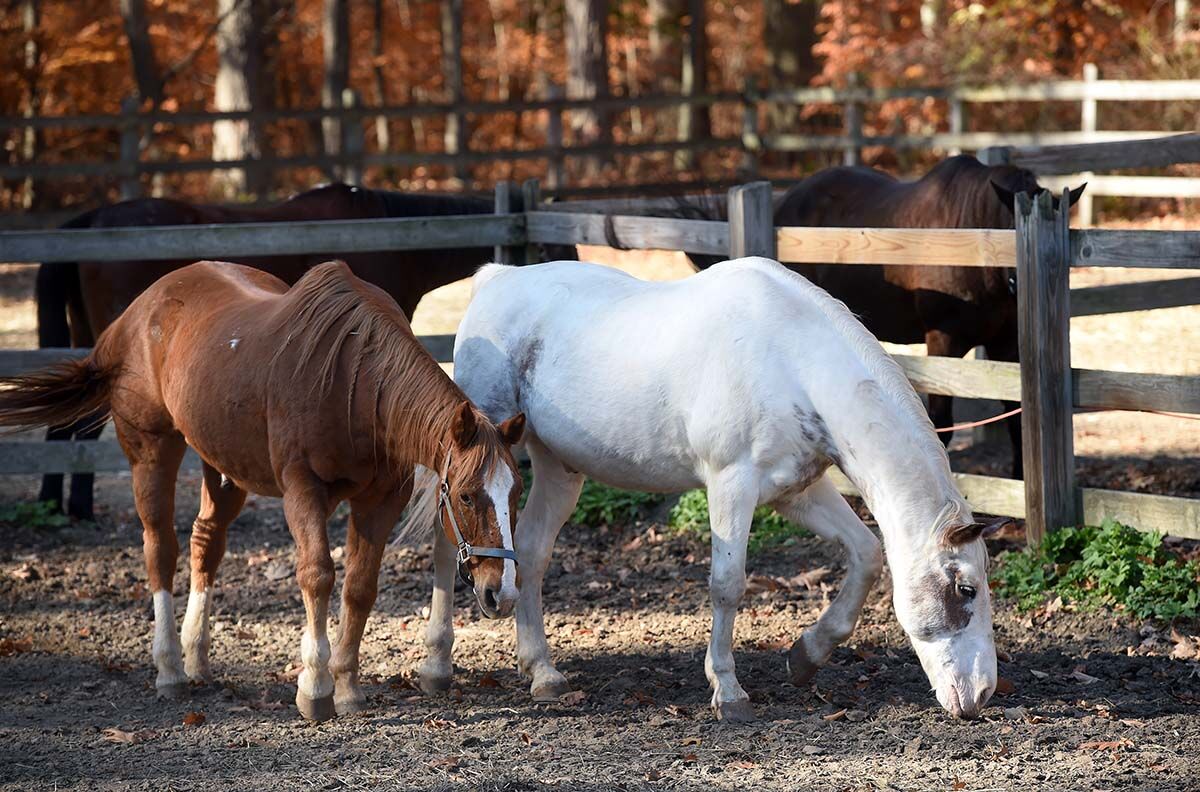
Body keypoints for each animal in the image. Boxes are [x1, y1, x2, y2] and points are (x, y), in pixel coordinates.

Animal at [0, 260, 526, 721]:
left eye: (515, 492)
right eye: (465, 495)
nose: (500, 592)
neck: (356, 382)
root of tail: (133, 316)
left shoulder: (380, 500)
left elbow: (359, 586)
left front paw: (348, 688)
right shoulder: (302, 490)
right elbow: (317, 574)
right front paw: (315, 689)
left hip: (224, 467)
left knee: (205, 542)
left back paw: (196, 659)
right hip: (151, 451)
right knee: (160, 549)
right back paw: (169, 669)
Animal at [409, 257, 1006, 722]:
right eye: (966, 589)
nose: (980, 695)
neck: (793, 360)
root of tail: (495, 280)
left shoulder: (796, 490)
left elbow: (865, 554)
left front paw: (806, 656)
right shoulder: (730, 485)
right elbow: (727, 585)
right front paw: (729, 690)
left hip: (559, 469)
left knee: (529, 554)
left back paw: (543, 674)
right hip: (476, 460)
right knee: (446, 545)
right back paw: (437, 668)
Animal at [678, 156, 1085, 480]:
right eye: (1003, 222)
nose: (1018, 283)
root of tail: (785, 205)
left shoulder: (1005, 345)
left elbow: (1015, 419)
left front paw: (1018, 479)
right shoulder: (944, 341)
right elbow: (942, 423)